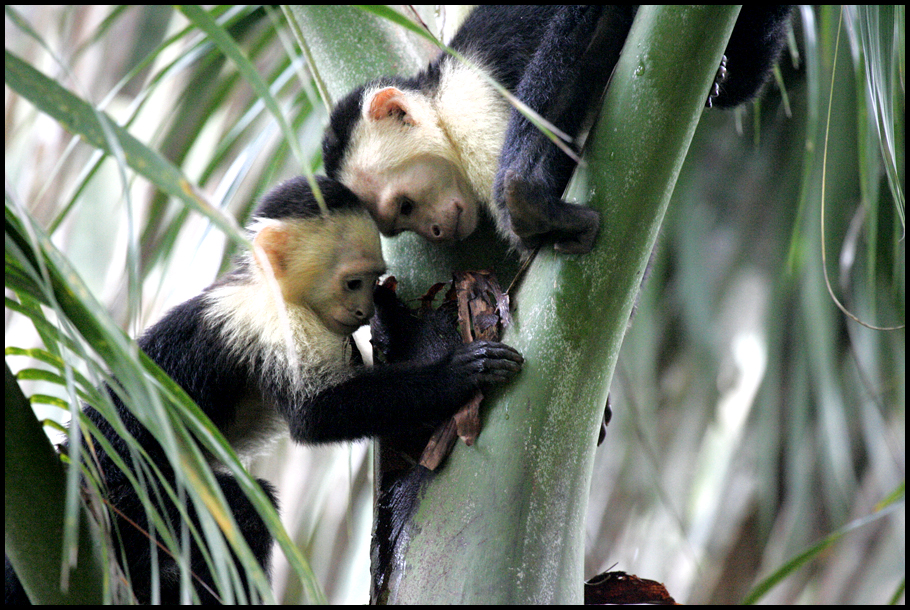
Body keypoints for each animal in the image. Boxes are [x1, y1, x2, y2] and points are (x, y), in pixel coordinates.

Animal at [5, 175, 523, 604]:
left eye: (371, 281)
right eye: (352, 282)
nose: (361, 309)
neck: (270, 288)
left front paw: (398, 318)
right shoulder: (277, 322)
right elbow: (316, 416)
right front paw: (457, 373)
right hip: (130, 498)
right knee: (241, 511)